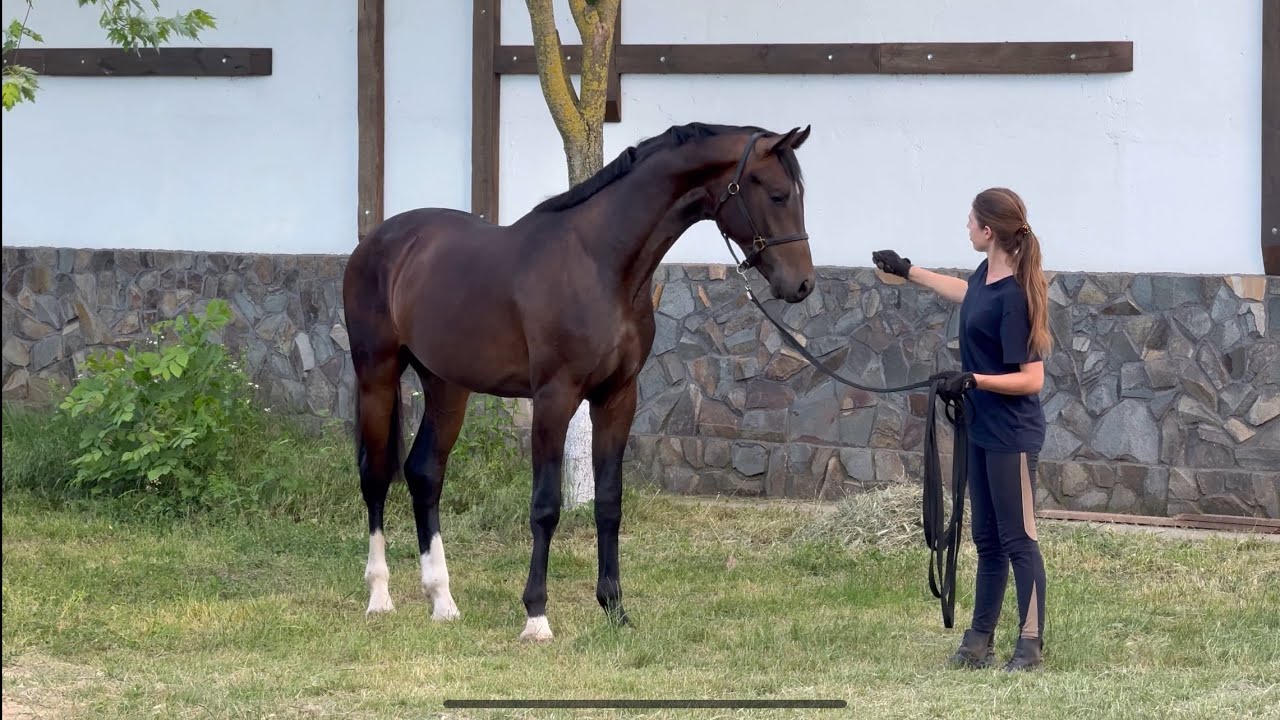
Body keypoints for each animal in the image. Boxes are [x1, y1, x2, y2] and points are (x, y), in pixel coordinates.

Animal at [341, 121, 816, 641]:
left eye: (799, 194)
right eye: (777, 194)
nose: (802, 285)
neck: (599, 264)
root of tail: (379, 241)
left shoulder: (617, 397)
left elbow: (609, 502)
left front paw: (615, 609)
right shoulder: (555, 397)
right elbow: (546, 506)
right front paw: (536, 616)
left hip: (447, 385)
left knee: (425, 472)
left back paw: (442, 601)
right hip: (377, 374)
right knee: (375, 476)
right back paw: (379, 596)